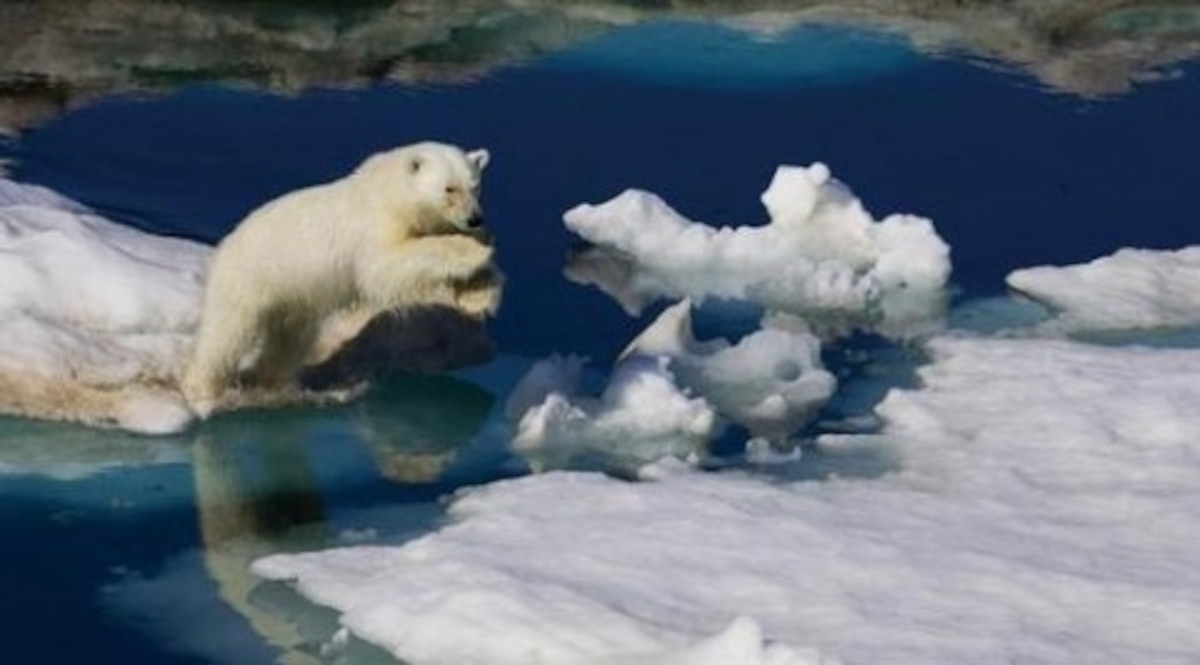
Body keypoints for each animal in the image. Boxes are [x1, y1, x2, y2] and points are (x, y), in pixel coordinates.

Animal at [181, 141, 503, 418]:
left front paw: (478, 295)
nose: (475, 218)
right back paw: (202, 390)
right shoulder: (373, 225)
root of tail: (224, 246)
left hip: (292, 299)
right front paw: (474, 250)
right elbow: (387, 267)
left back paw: (275, 383)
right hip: (249, 278)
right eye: (449, 189)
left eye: (475, 186)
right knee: (226, 335)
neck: (390, 191)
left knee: (288, 340)